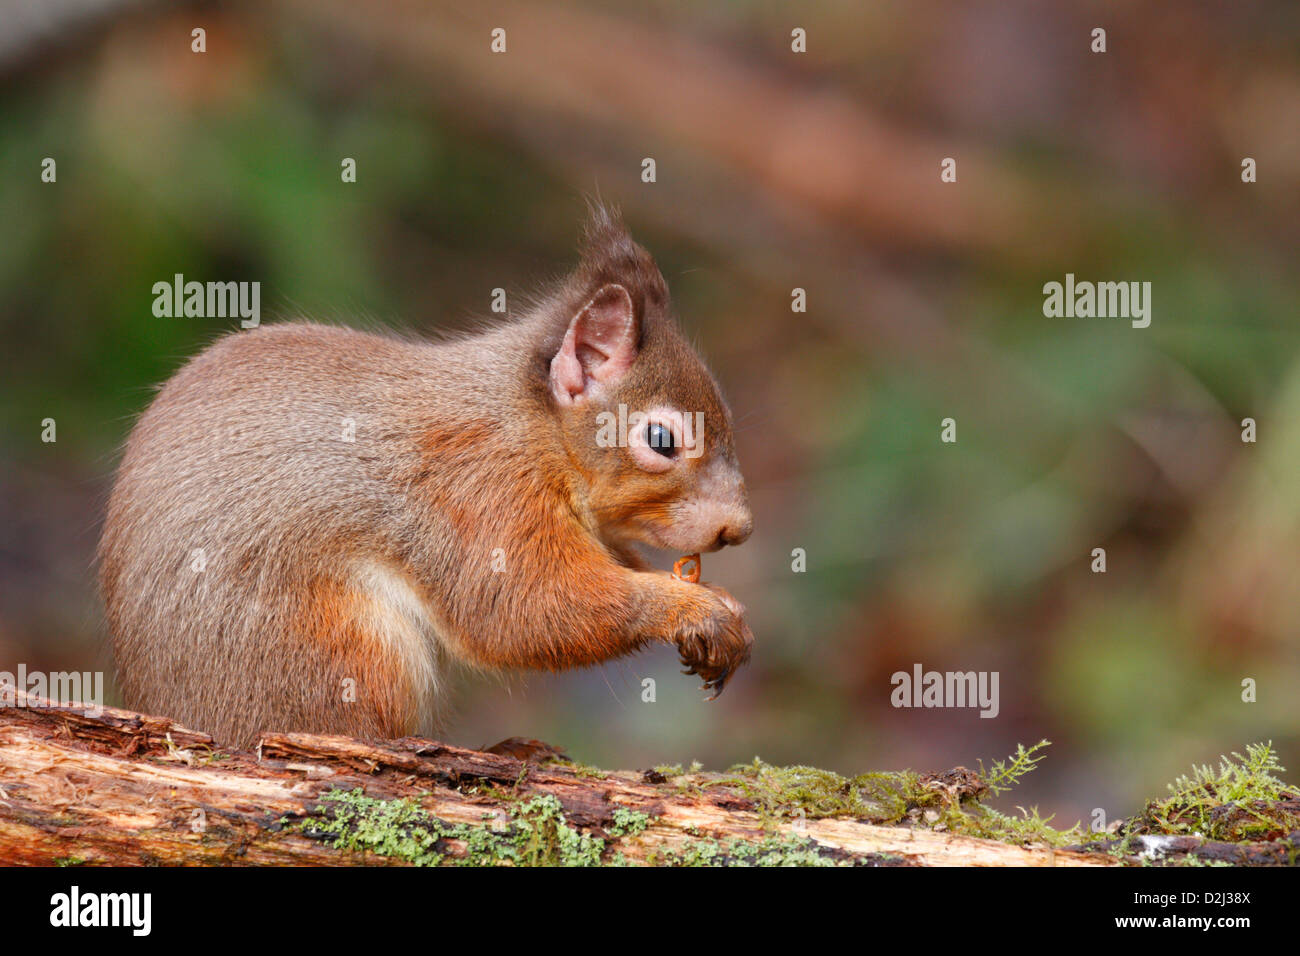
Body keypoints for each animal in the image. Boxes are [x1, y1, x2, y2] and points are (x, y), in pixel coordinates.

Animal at [98, 204, 754, 748]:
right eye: (662, 440)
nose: (739, 529)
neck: (532, 433)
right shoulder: (477, 495)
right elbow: (530, 608)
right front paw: (690, 608)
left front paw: (722, 606)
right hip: (339, 650)